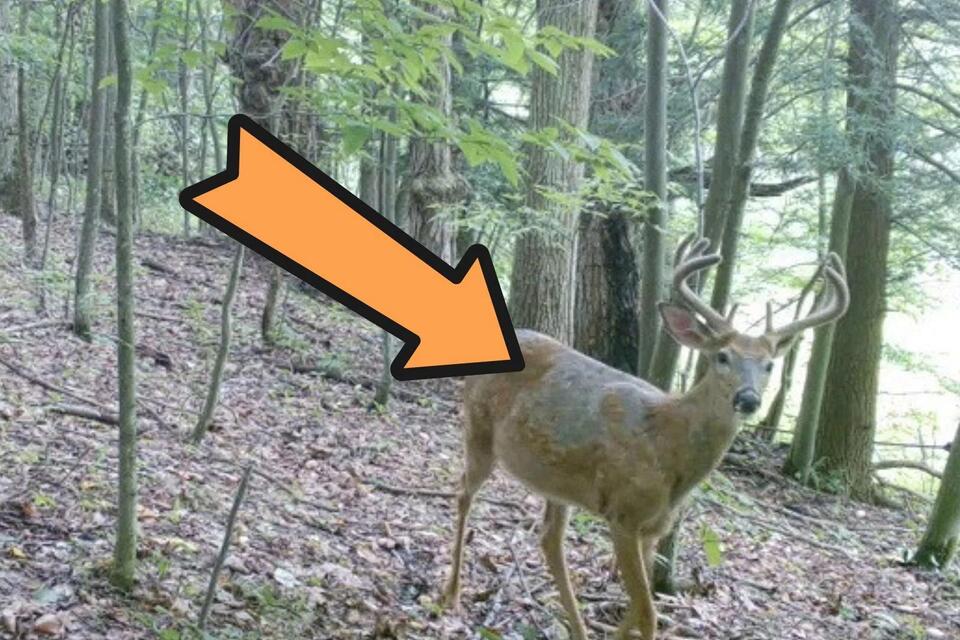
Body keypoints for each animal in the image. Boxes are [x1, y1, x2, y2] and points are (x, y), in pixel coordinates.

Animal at [441, 236, 849, 639]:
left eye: (769, 365)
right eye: (722, 356)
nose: (747, 399)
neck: (668, 444)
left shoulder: (654, 527)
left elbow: (636, 611)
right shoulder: (624, 514)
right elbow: (648, 614)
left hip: (556, 481)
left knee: (549, 539)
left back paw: (577, 628)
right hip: (478, 430)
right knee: (463, 493)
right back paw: (453, 593)